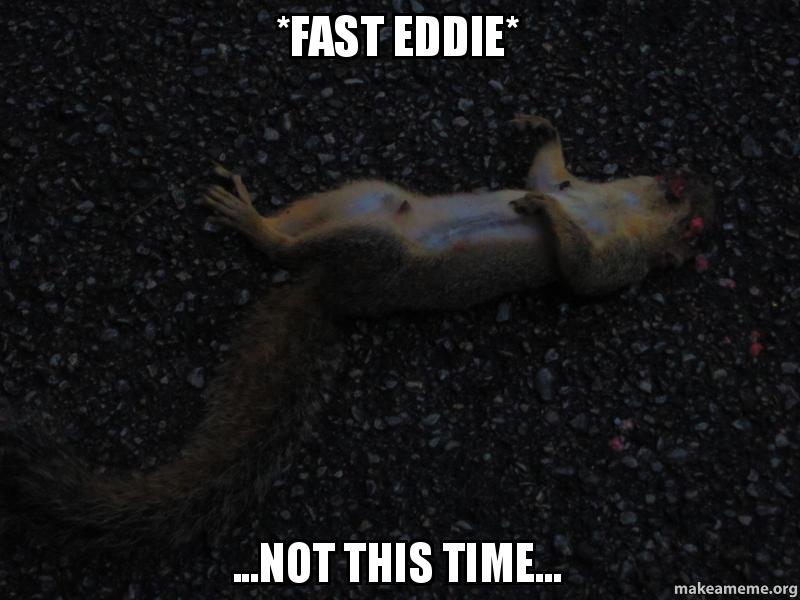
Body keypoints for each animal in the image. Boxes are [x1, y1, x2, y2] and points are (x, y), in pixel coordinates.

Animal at [0, 115, 713, 550]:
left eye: (694, 223)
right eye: (678, 189)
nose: (685, 178)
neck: (617, 203)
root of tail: (329, 288)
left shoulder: (613, 267)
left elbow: (580, 269)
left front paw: (540, 209)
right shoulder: (570, 183)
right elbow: (545, 172)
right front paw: (541, 130)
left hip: (375, 253)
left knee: (283, 252)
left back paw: (255, 225)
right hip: (354, 198)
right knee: (295, 230)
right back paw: (250, 204)